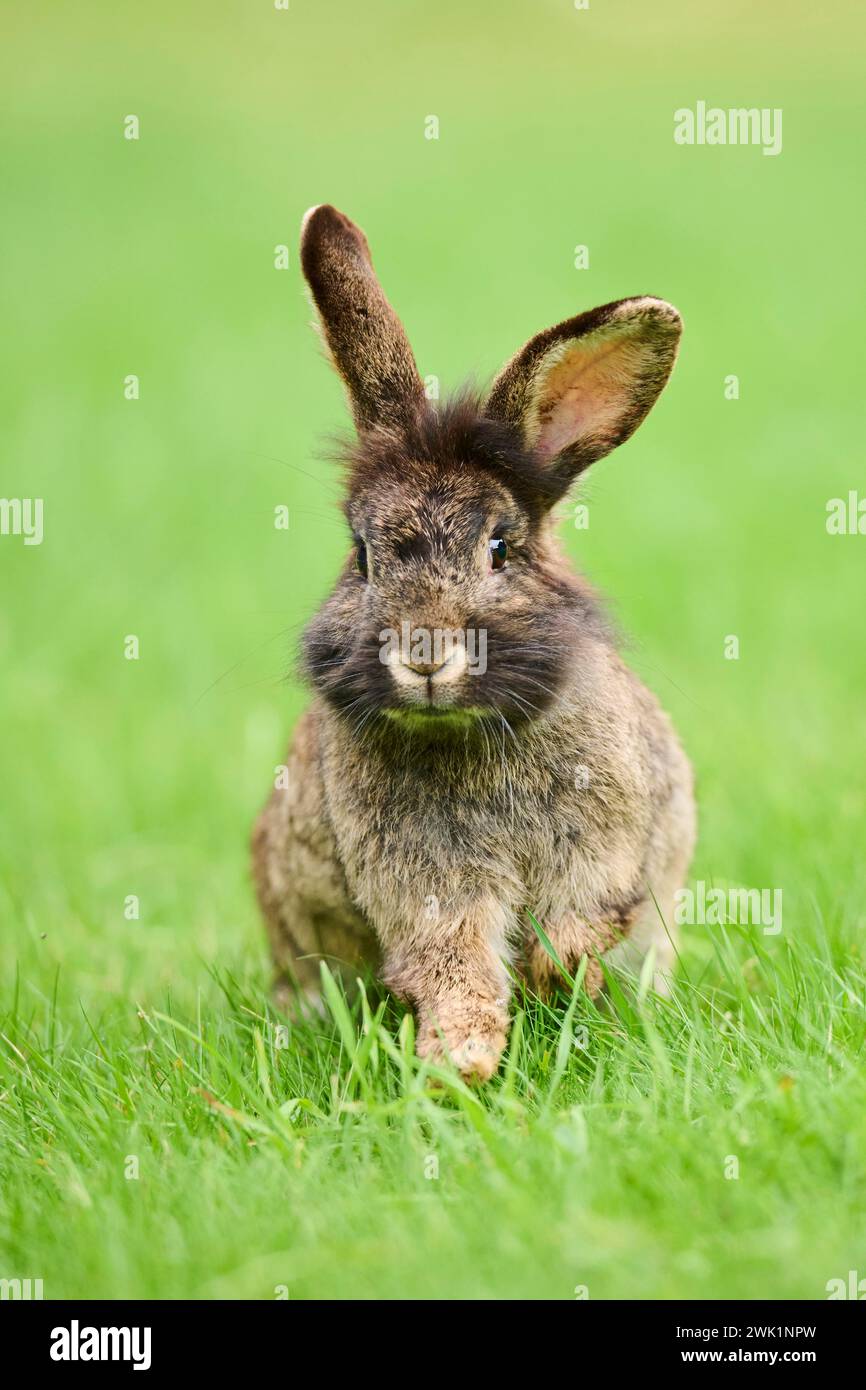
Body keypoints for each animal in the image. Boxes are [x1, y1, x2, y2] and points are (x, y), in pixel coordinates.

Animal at [252, 204, 696, 1082]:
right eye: (363, 556)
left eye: (500, 548)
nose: (425, 656)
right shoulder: (425, 886)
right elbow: (450, 955)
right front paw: (461, 1059)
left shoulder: (605, 852)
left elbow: (578, 927)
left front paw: (550, 983)